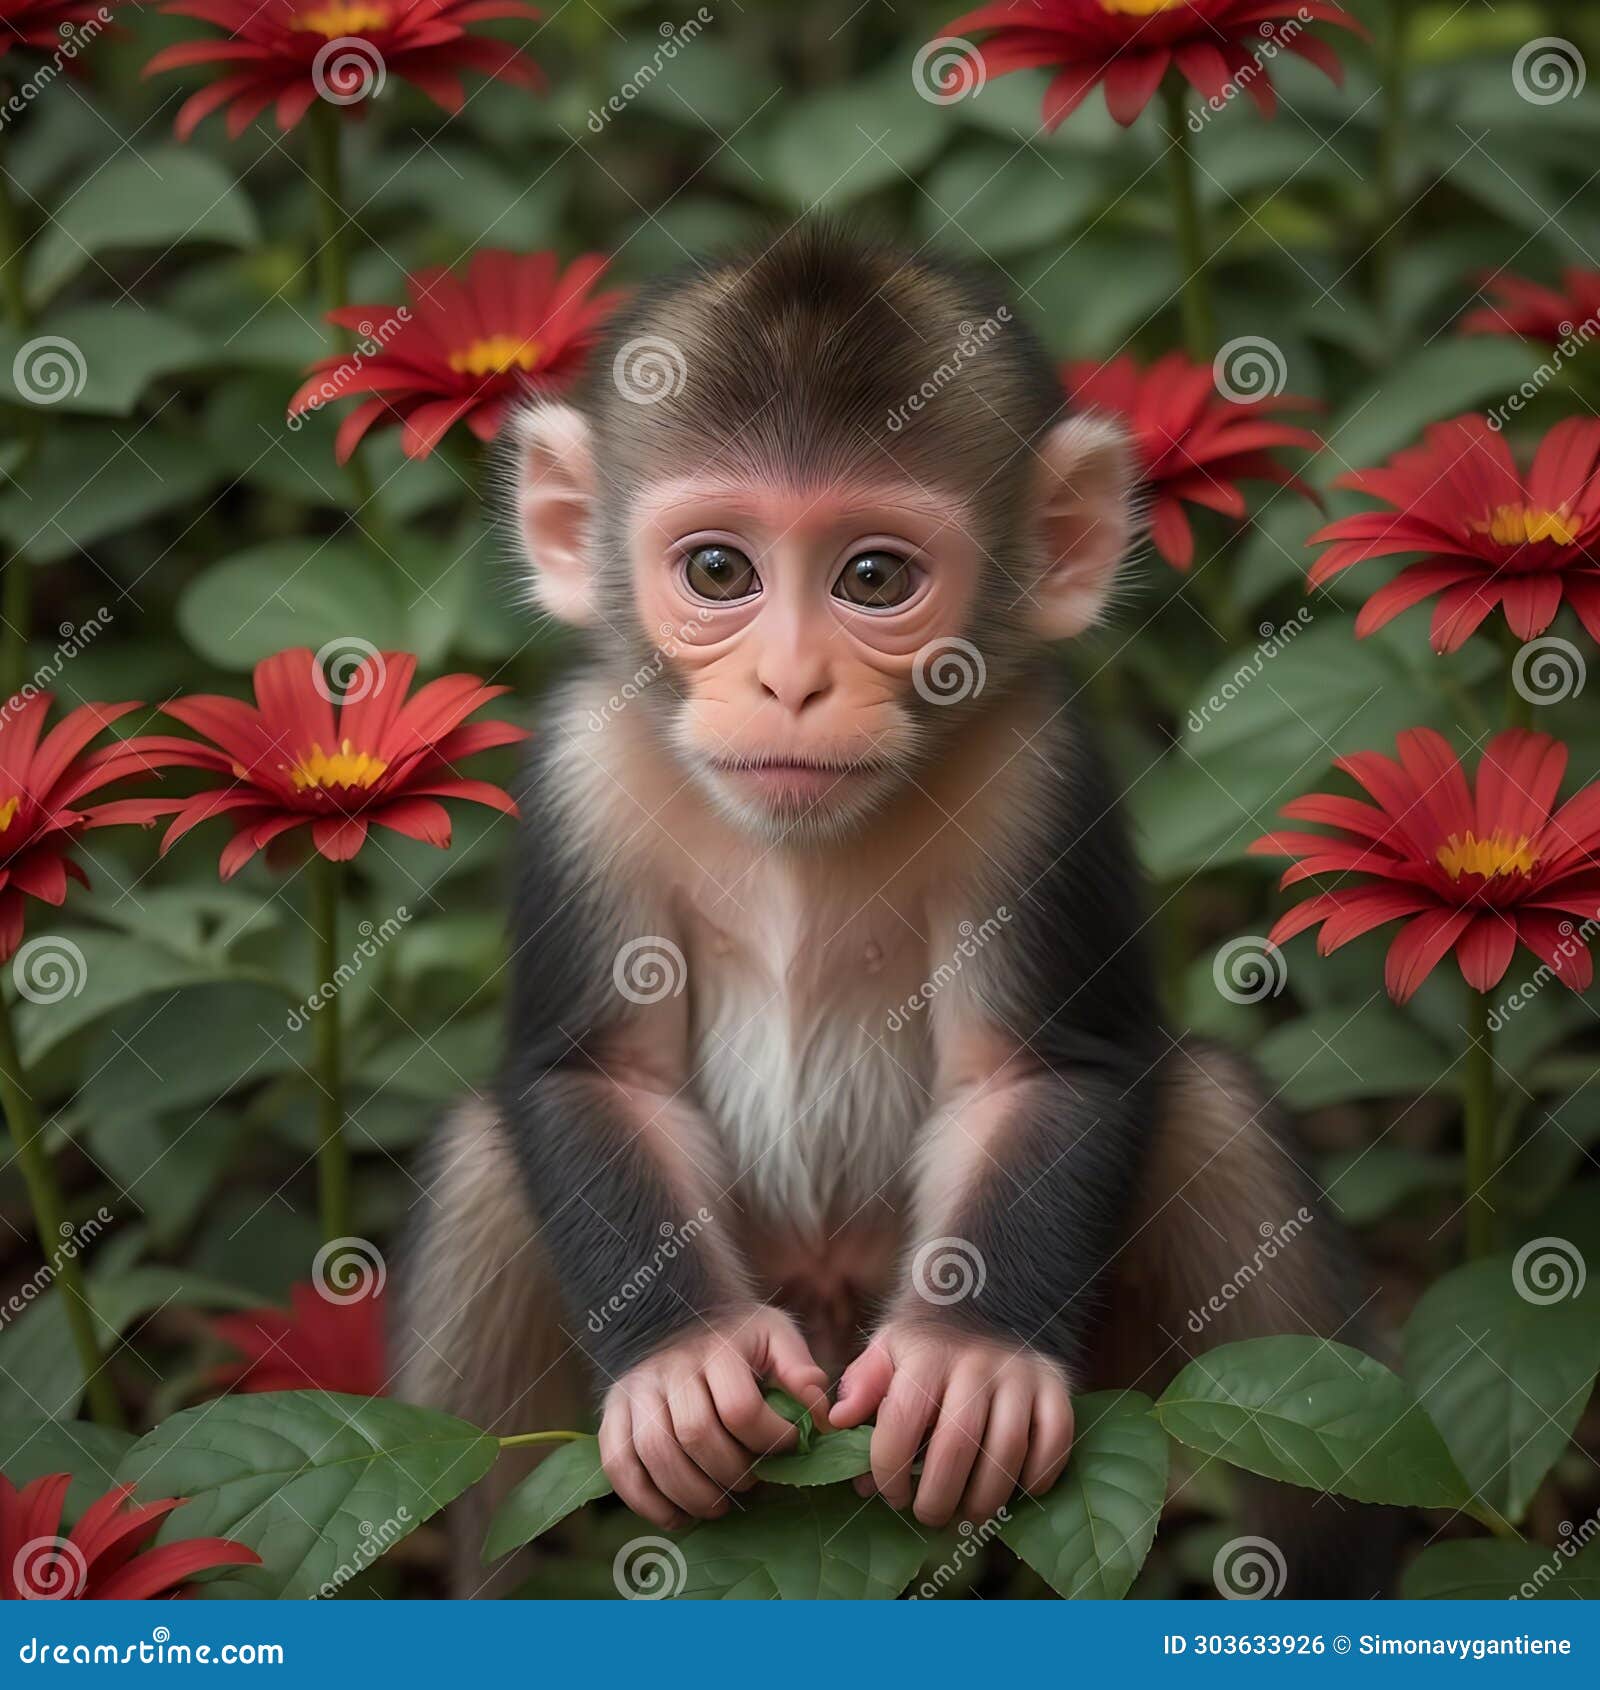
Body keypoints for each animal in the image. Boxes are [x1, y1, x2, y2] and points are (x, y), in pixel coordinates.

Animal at [395, 223, 1390, 1600]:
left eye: (873, 578)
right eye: (719, 569)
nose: (790, 682)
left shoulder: (1035, 775)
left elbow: (1034, 1075)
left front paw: (968, 1358)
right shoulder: (586, 770)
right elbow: (598, 1078)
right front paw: (683, 1361)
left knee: (1212, 1109)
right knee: (482, 1166)